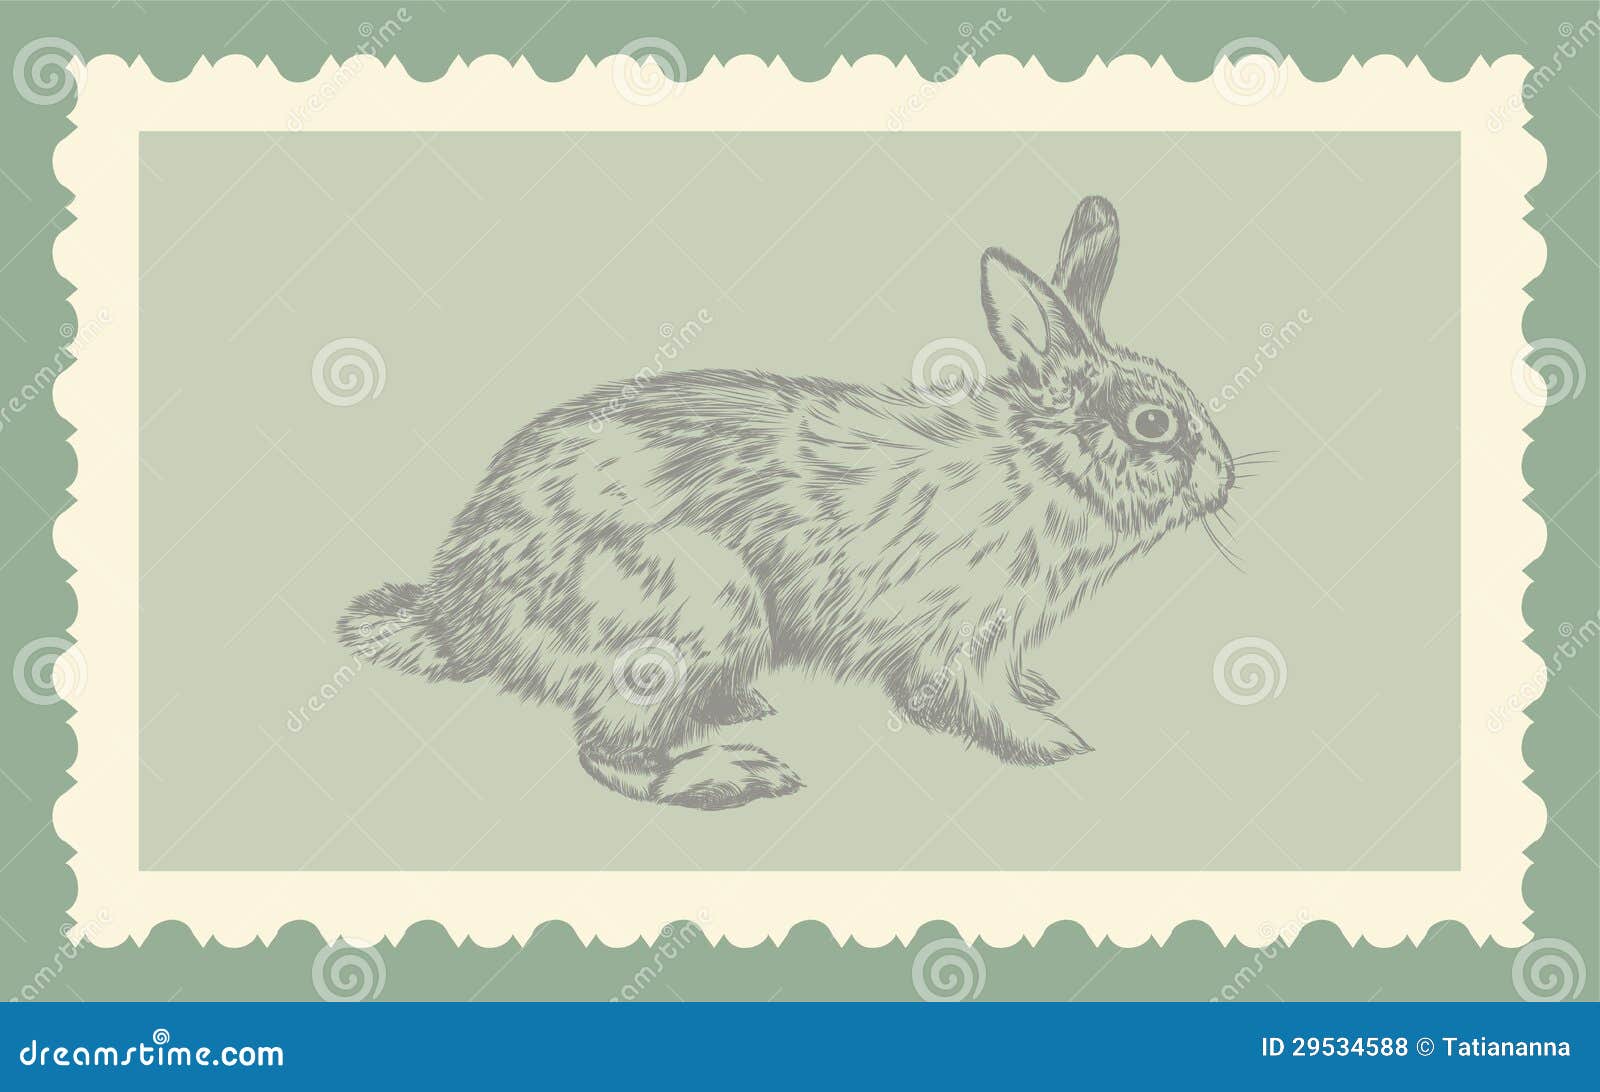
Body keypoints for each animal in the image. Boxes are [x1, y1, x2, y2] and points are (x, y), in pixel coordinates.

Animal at [337, 195, 1238, 811]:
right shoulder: (962, 633)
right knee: (608, 752)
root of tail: (462, 619)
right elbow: (963, 696)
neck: (1042, 466)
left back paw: (737, 704)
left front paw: (1043, 699)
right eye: (1154, 424)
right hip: (694, 606)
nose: (1224, 476)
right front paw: (1051, 740)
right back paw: (726, 773)